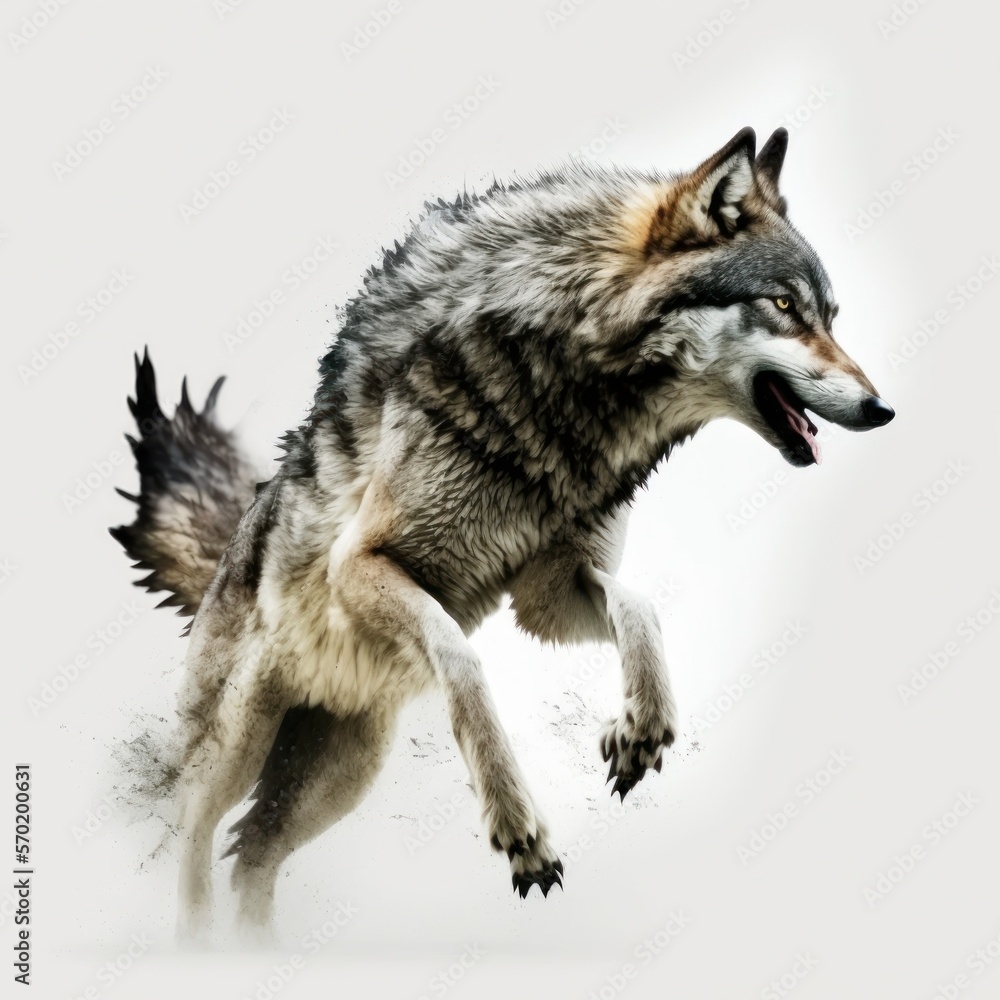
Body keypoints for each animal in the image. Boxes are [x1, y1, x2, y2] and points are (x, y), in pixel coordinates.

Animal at [112, 126, 894, 935]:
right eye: (784, 305)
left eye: (831, 316)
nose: (882, 409)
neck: (568, 401)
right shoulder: (362, 568)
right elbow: (463, 661)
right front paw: (522, 831)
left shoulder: (549, 598)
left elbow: (641, 607)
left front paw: (637, 731)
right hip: (237, 750)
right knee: (193, 832)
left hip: (340, 779)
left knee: (256, 861)